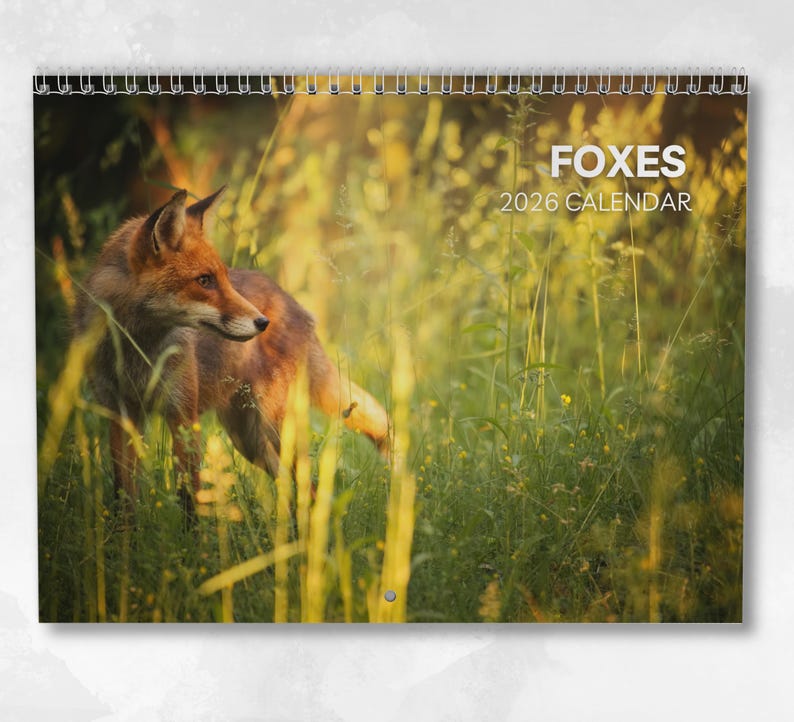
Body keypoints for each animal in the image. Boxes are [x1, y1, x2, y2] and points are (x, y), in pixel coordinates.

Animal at [75, 187, 389, 513]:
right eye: (204, 280)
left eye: (223, 277)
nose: (262, 322)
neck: (136, 351)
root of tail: (292, 302)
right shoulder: (119, 414)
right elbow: (124, 499)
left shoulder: (184, 416)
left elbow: (190, 500)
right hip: (250, 440)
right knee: (290, 489)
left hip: (274, 430)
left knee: (309, 488)